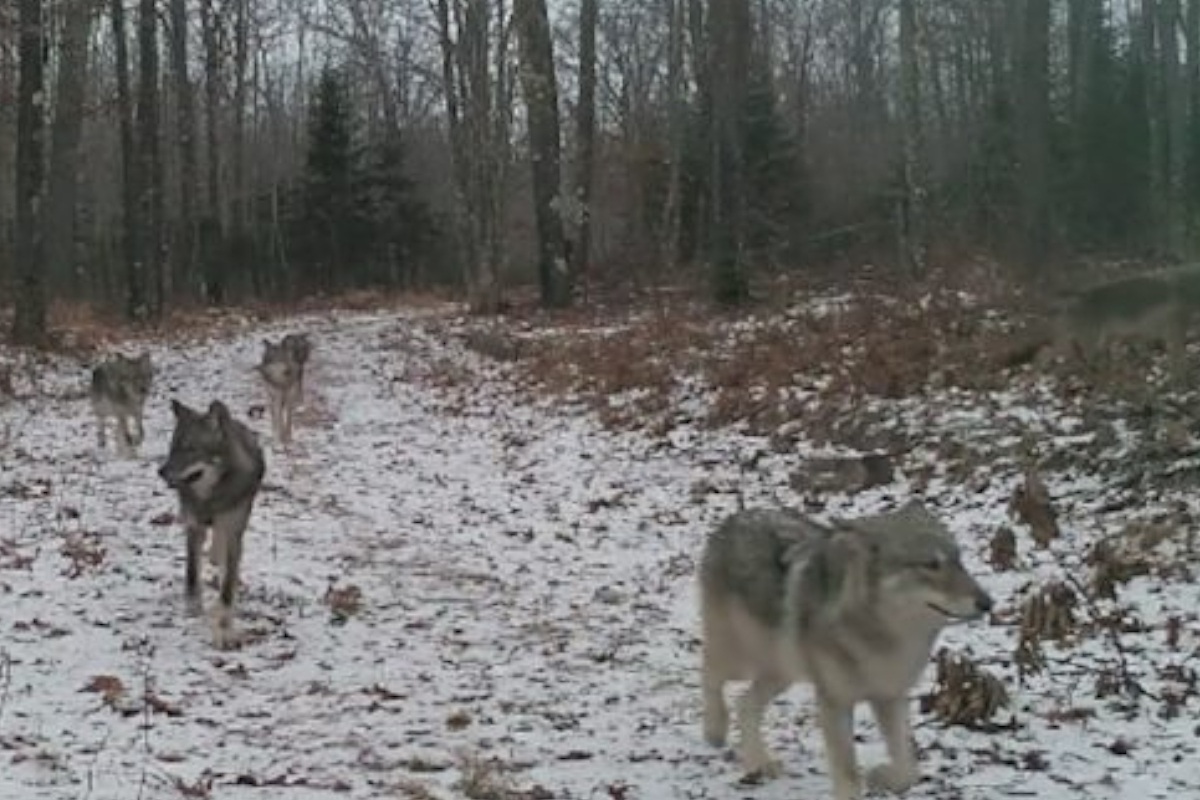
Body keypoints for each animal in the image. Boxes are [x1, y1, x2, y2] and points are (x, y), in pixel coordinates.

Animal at [158, 399, 265, 649]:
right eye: (172, 447)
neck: (212, 496)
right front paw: (193, 607)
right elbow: (191, 572)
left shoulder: (234, 531)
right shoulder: (193, 525)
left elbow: (227, 587)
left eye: (190, 449)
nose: (160, 472)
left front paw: (224, 629)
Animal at [699, 501, 992, 800]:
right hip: (740, 660)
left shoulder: (890, 697)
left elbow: (909, 769)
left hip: (782, 671)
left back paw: (760, 763)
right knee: (709, 671)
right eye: (931, 564)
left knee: (745, 703)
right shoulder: (835, 701)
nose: (988, 603)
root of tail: (737, 517)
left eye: (959, 560)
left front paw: (881, 778)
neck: (881, 637)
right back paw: (715, 730)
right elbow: (848, 770)